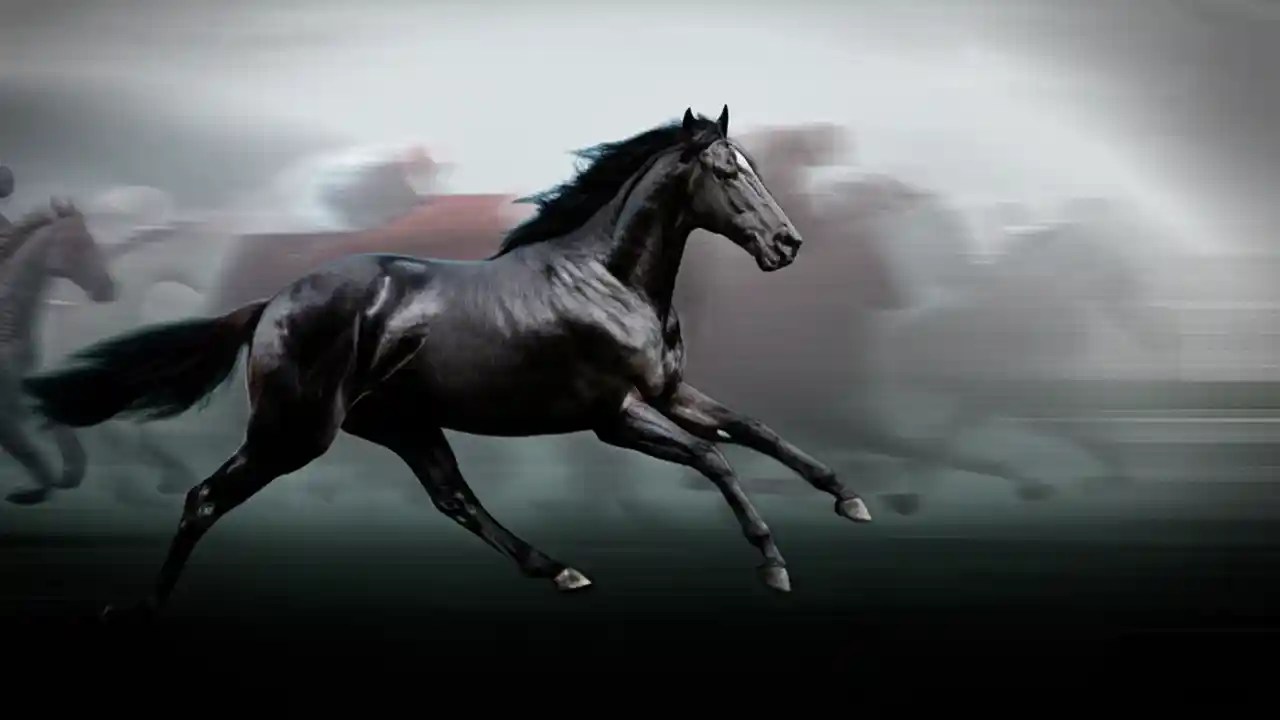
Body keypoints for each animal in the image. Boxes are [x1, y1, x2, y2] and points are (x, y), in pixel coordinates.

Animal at [0, 199, 117, 504]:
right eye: (78, 243)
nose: (108, 288)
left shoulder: (23, 393)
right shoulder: (6, 412)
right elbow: (33, 457)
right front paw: (26, 492)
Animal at [23, 107, 875, 621]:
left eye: (756, 166)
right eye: (727, 172)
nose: (788, 245)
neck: (609, 279)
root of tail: (269, 305)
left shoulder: (667, 391)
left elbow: (757, 431)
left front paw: (849, 499)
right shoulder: (615, 415)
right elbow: (715, 459)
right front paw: (774, 565)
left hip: (401, 424)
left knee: (454, 499)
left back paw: (559, 569)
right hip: (294, 431)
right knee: (205, 498)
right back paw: (145, 608)